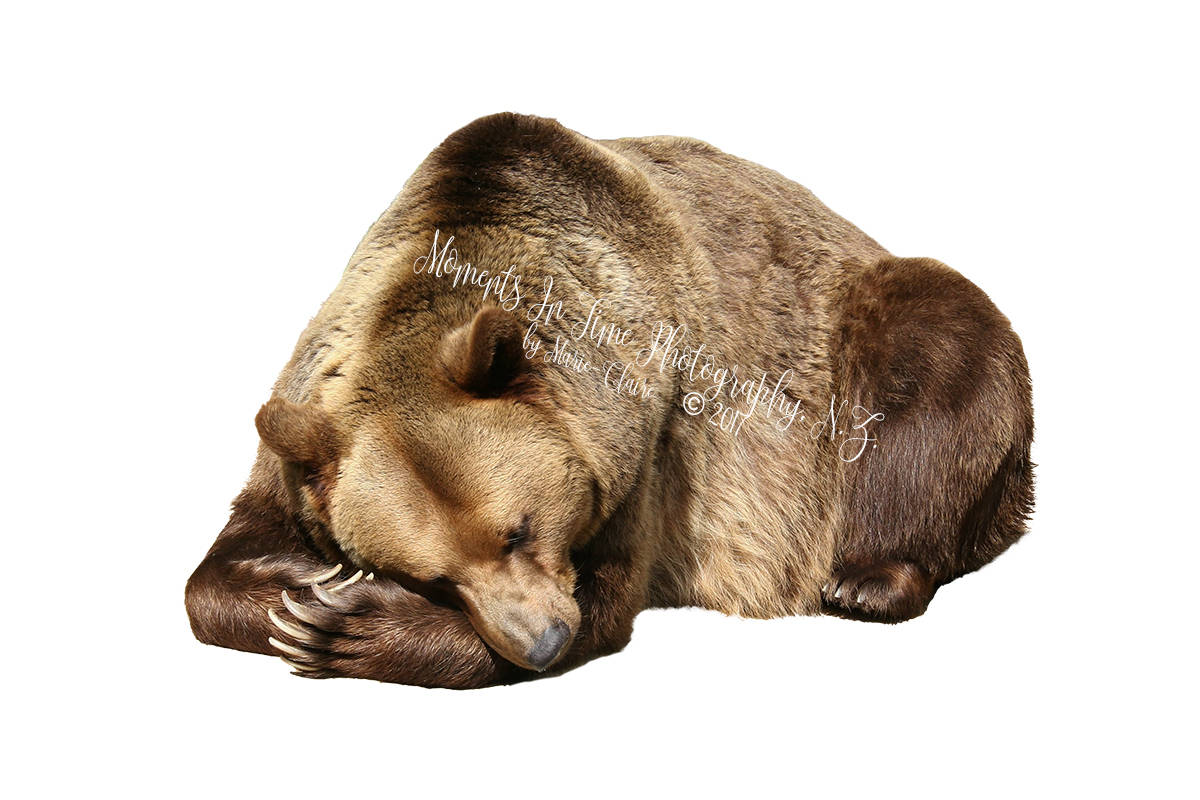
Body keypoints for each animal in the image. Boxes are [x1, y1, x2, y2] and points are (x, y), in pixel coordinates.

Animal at [185, 112, 1034, 688]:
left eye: (518, 529)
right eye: (432, 577)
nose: (539, 642)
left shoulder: (654, 436)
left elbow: (608, 590)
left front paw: (345, 627)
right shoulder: (303, 422)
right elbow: (218, 569)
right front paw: (296, 595)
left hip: (863, 349)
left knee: (934, 358)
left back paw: (866, 579)